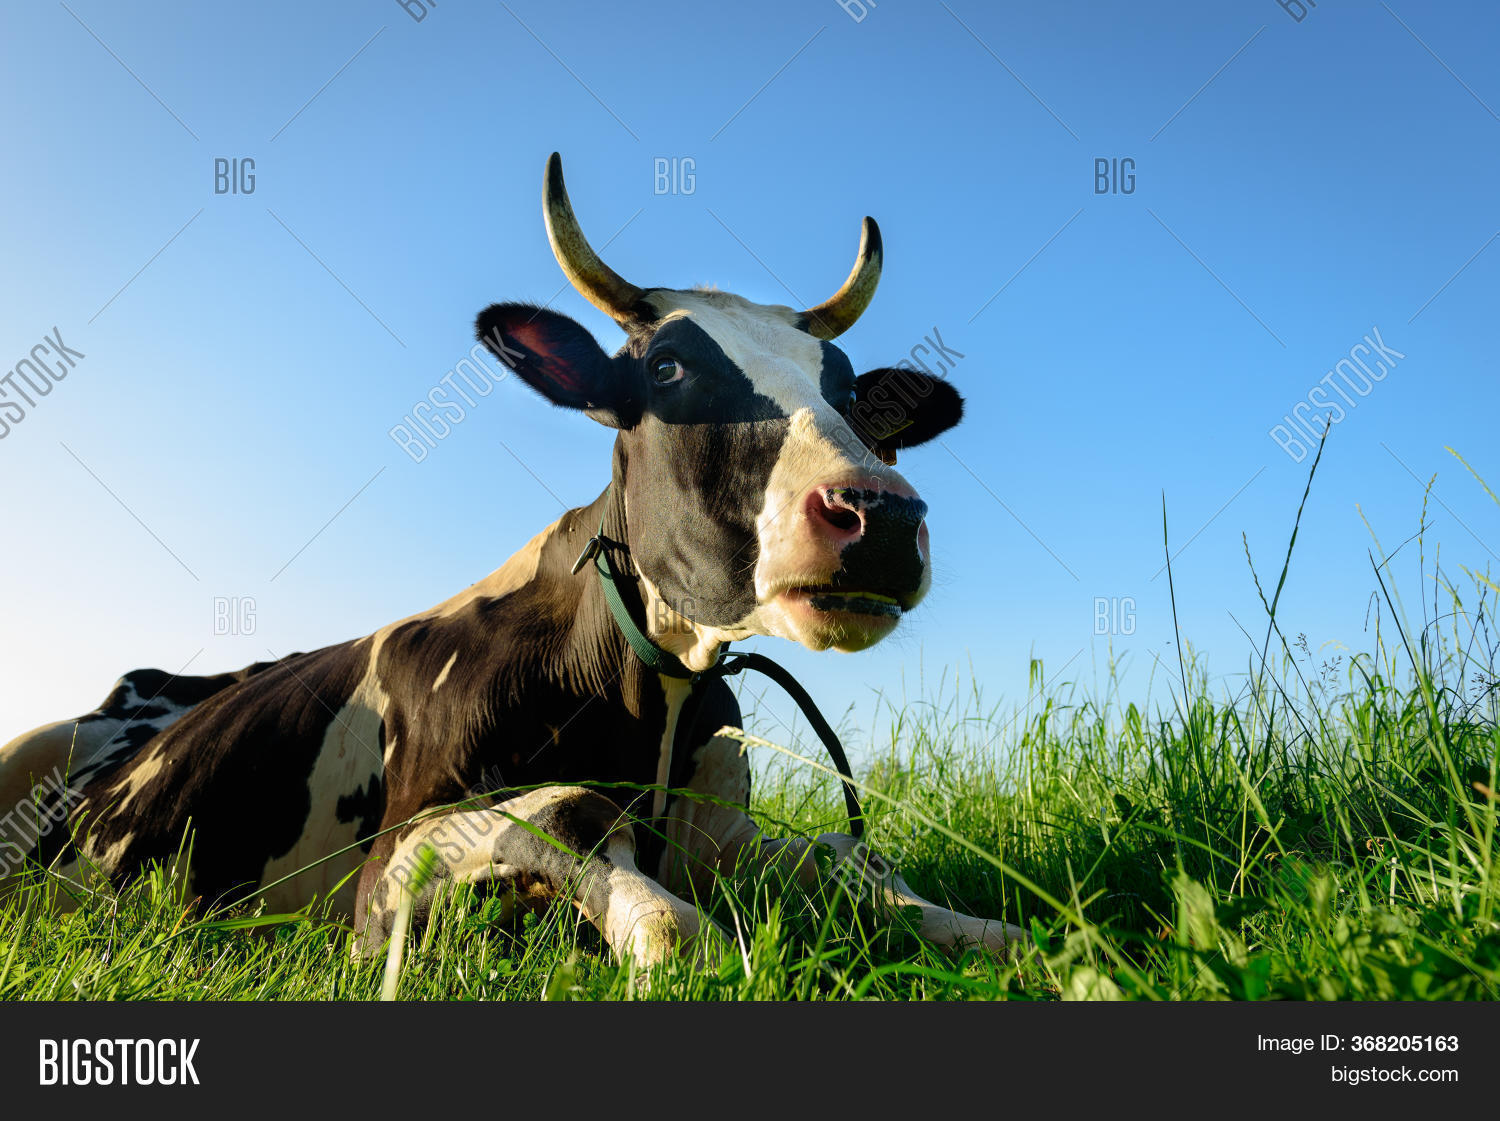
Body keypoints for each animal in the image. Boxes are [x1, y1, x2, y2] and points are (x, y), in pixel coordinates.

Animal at [0, 154, 1025, 966]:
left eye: (848, 389)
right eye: (667, 368)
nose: (880, 515)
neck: (649, 699)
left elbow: (849, 855)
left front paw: (988, 932)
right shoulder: (382, 878)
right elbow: (587, 830)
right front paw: (664, 931)